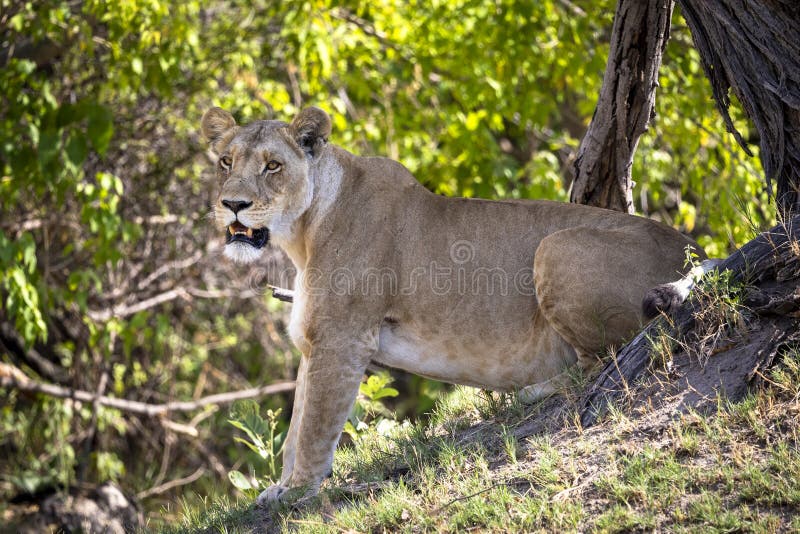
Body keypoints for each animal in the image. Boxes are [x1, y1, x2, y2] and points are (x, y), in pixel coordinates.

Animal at [200, 106, 708, 505]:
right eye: (226, 161)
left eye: (272, 166)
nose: (233, 204)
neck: (301, 236)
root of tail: (697, 250)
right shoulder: (314, 339)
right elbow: (297, 424)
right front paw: (279, 487)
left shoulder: (341, 339)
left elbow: (314, 428)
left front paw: (297, 491)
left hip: (556, 246)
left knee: (607, 358)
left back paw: (532, 391)